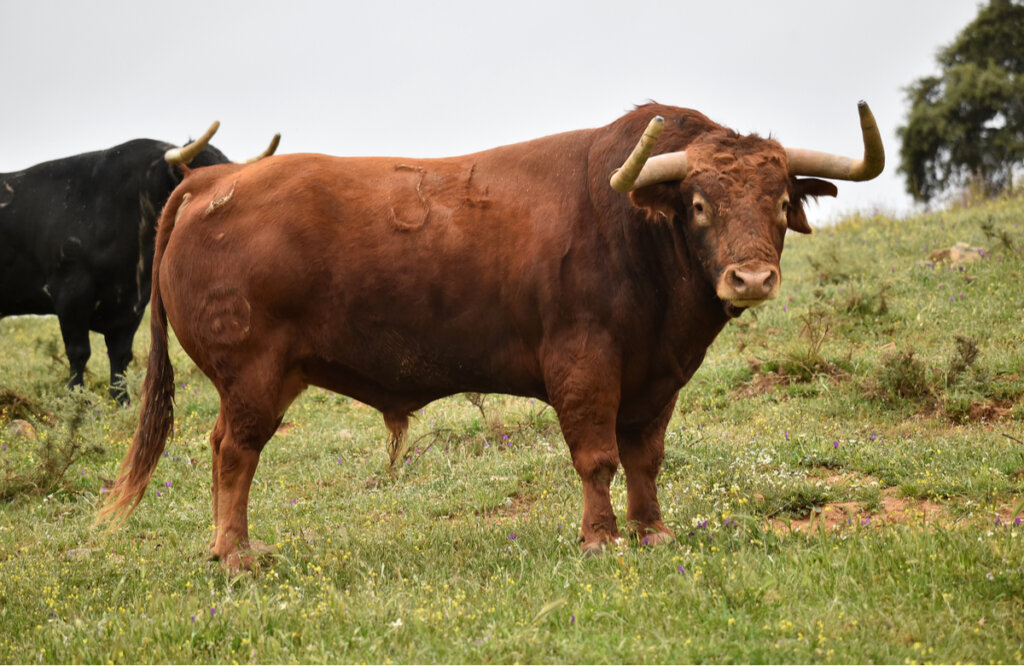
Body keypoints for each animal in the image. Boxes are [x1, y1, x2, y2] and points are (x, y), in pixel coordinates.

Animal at [99, 100, 880, 569]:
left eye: (779, 201)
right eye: (697, 204)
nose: (750, 278)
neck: (633, 231)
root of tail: (211, 184)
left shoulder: (656, 378)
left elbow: (646, 458)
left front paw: (652, 531)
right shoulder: (584, 363)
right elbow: (597, 456)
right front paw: (599, 540)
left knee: (223, 446)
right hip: (252, 374)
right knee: (235, 451)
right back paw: (236, 554)